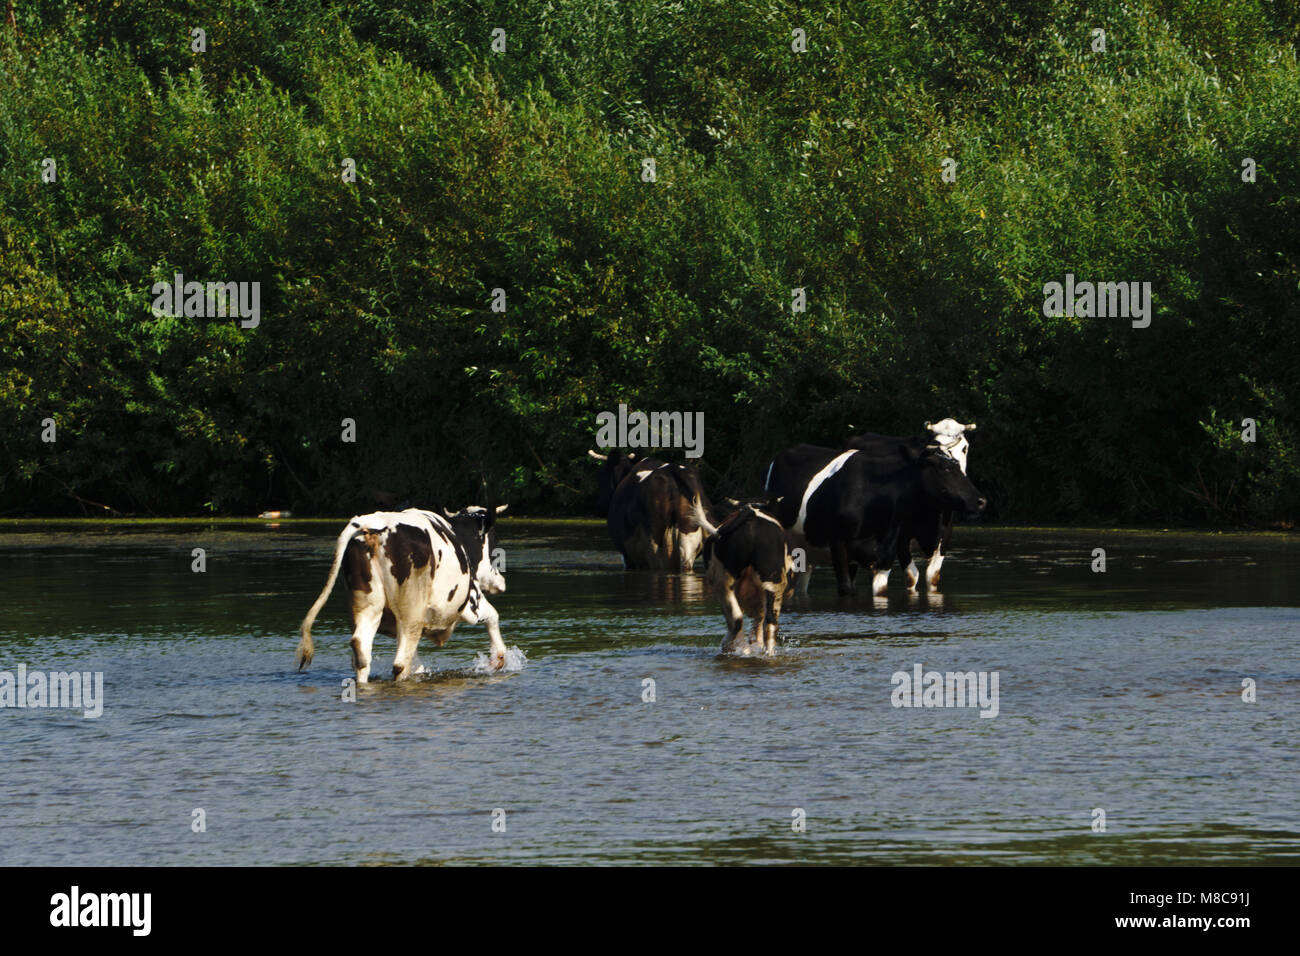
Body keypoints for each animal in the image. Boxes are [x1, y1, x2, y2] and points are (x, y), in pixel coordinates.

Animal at [295, 505, 510, 683]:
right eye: (494, 541)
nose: (502, 582)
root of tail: (369, 524)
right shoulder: (471, 601)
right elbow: (493, 616)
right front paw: (497, 660)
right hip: (411, 615)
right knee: (400, 663)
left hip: (368, 607)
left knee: (362, 651)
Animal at [691, 498, 792, 655]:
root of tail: (751, 516)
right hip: (773, 583)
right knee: (769, 624)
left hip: (723, 580)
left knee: (738, 620)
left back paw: (733, 646)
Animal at [764, 440, 985, 596]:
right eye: (945, 468)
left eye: (959, 465)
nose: (981, 500)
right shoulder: (838, 543)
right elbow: (847, 589)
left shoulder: (888, 549)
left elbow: (881, 589)